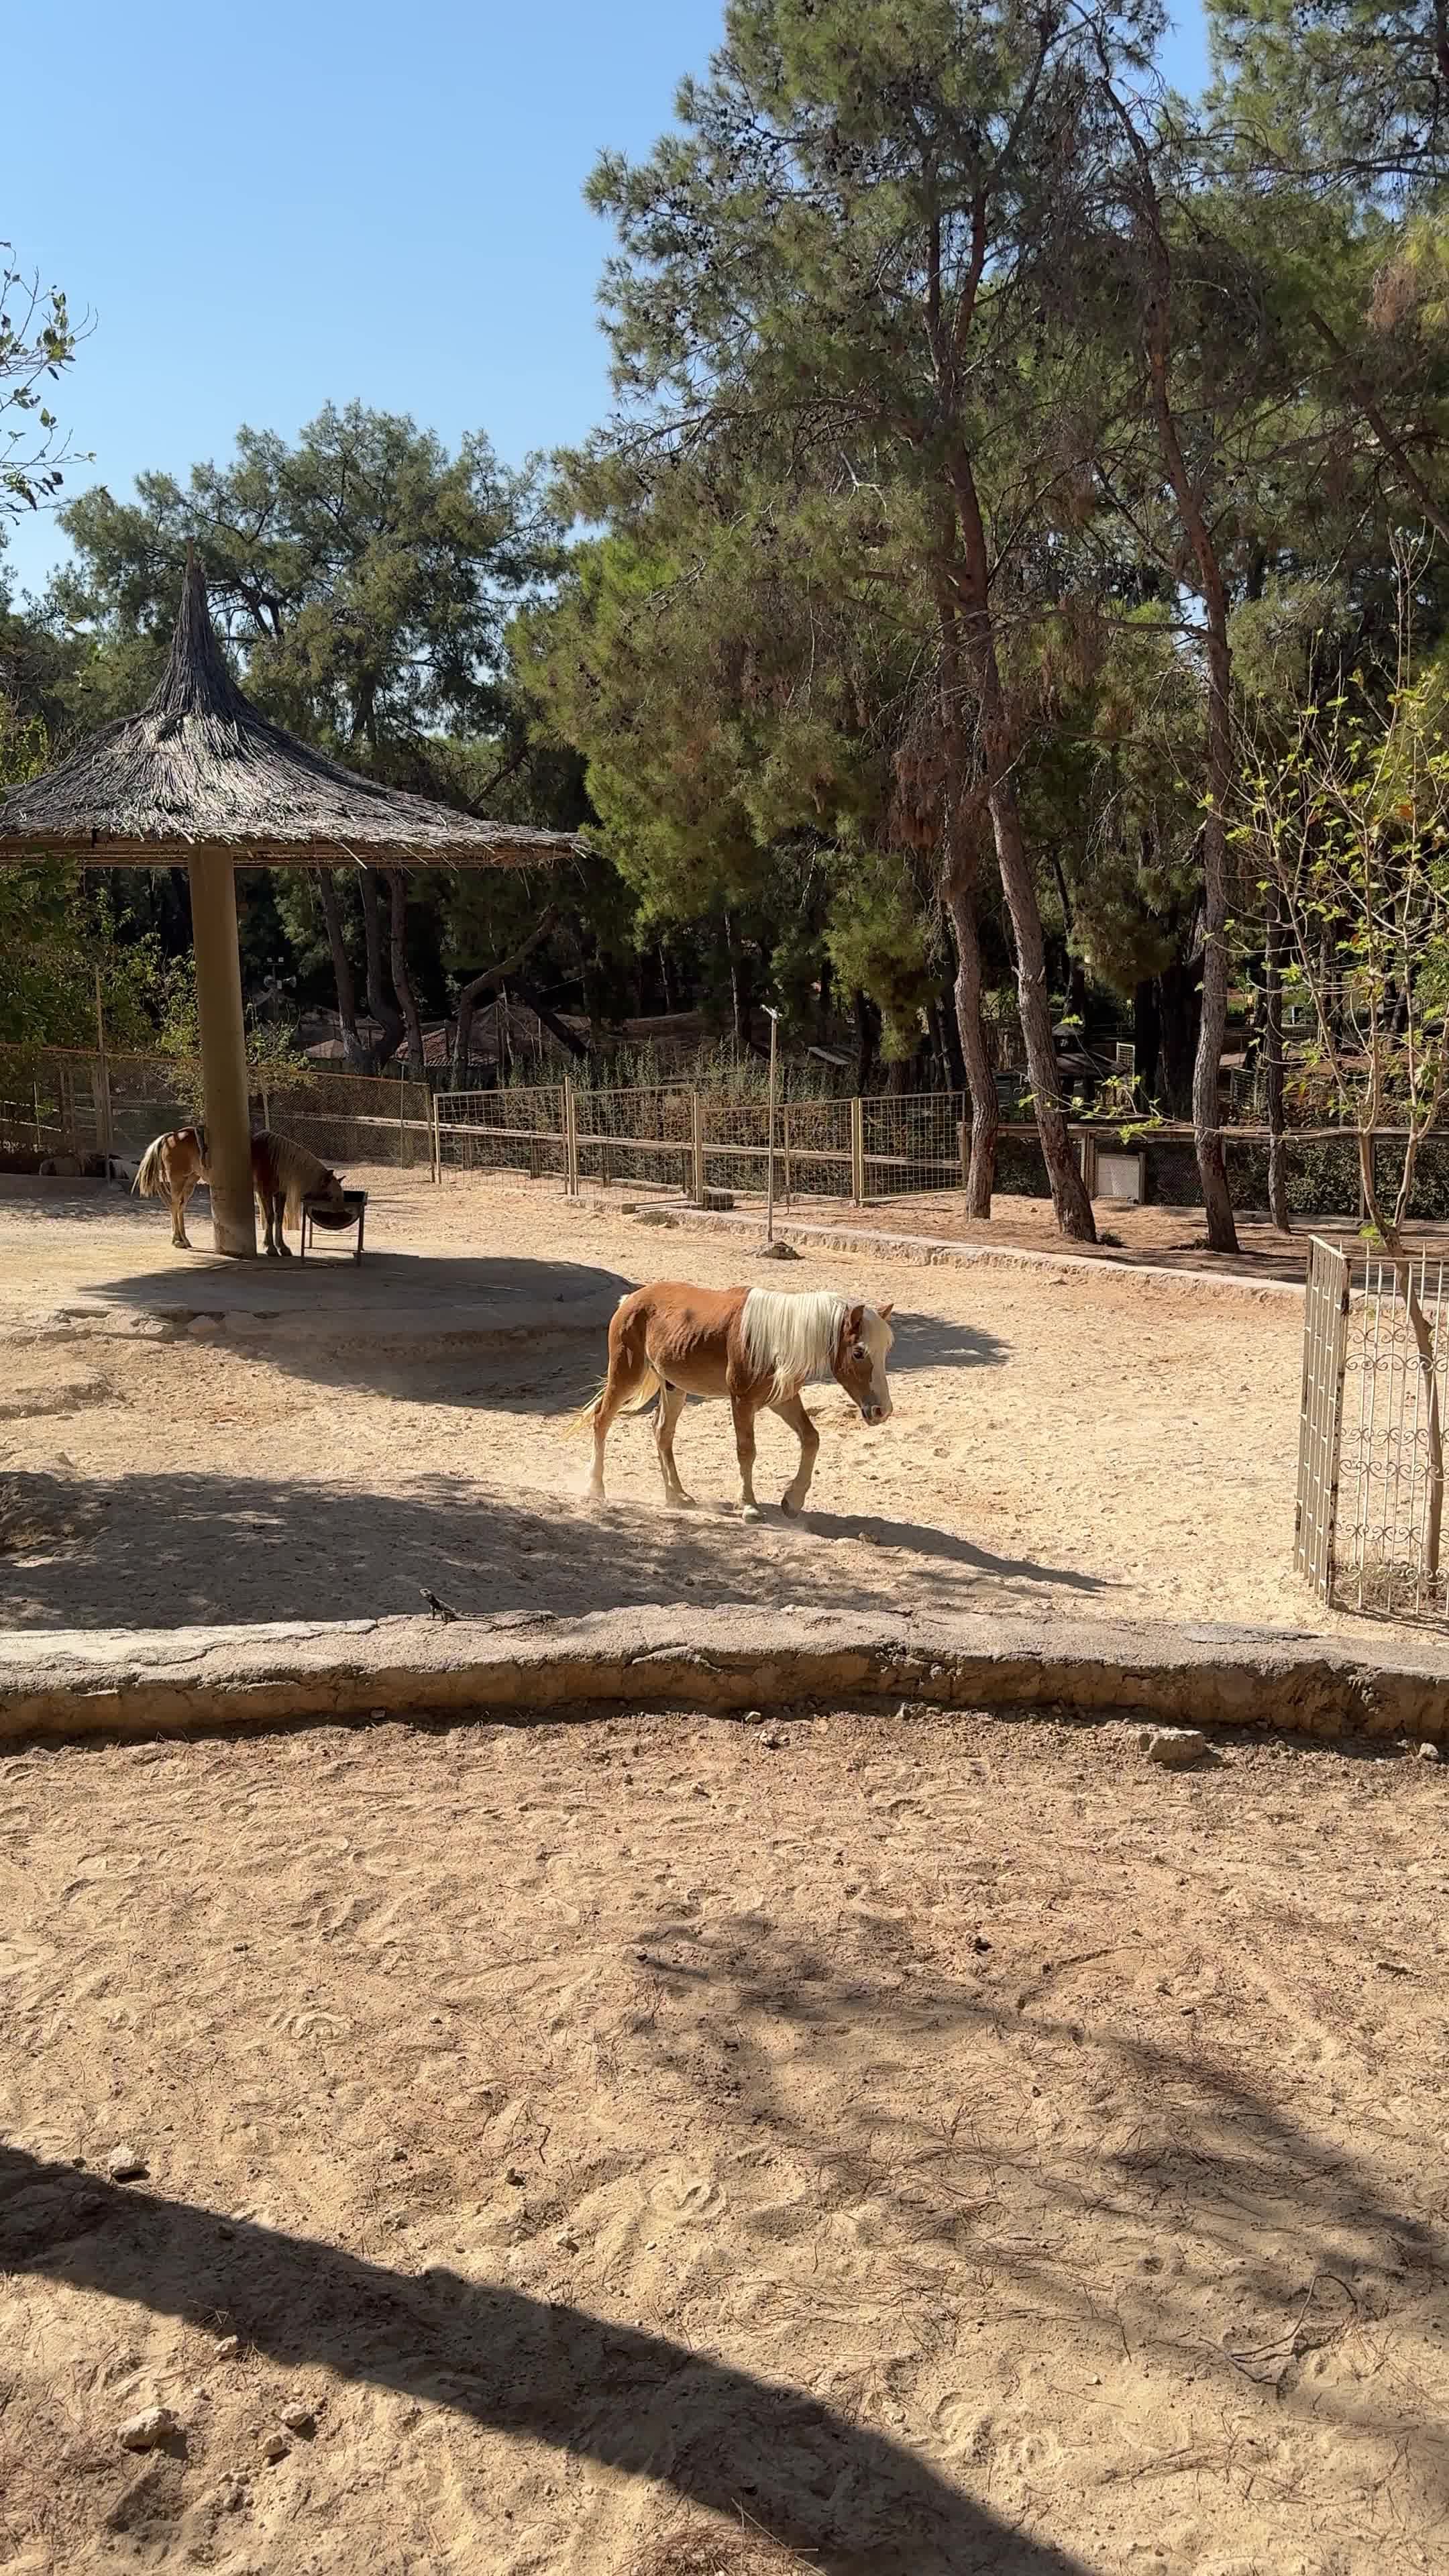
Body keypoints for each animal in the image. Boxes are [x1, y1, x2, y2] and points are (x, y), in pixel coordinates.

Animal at [133, 1127, 346, 1254]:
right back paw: (177, 1240)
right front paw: (270, 1248)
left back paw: (184, 1239)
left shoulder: (280, 1193)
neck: (275, 1159)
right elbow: (270, 1217)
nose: (340, 1217)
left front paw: (283, 1247)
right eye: (330, 1196)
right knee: (174, 1206)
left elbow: (278, 1218)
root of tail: (171, 1136)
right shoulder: (264, 1191)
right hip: (178, 1179)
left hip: (191, 1180)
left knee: (180, 1207)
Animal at [582, 1281, 895, 1520]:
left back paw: (676, 1495)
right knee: (602, 1419)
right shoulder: (742, 1401)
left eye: (885, 1351)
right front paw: (749, 1506)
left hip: (674, 1388)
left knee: (662, 1433)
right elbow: (747, 1450)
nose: (882, 1411)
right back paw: (596, 1488)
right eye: (858, 1352)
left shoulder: (783, 1399)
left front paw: (792, 1501)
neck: (773, 1338)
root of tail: (630, 1300)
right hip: (626, 1375)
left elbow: (811, 1439)